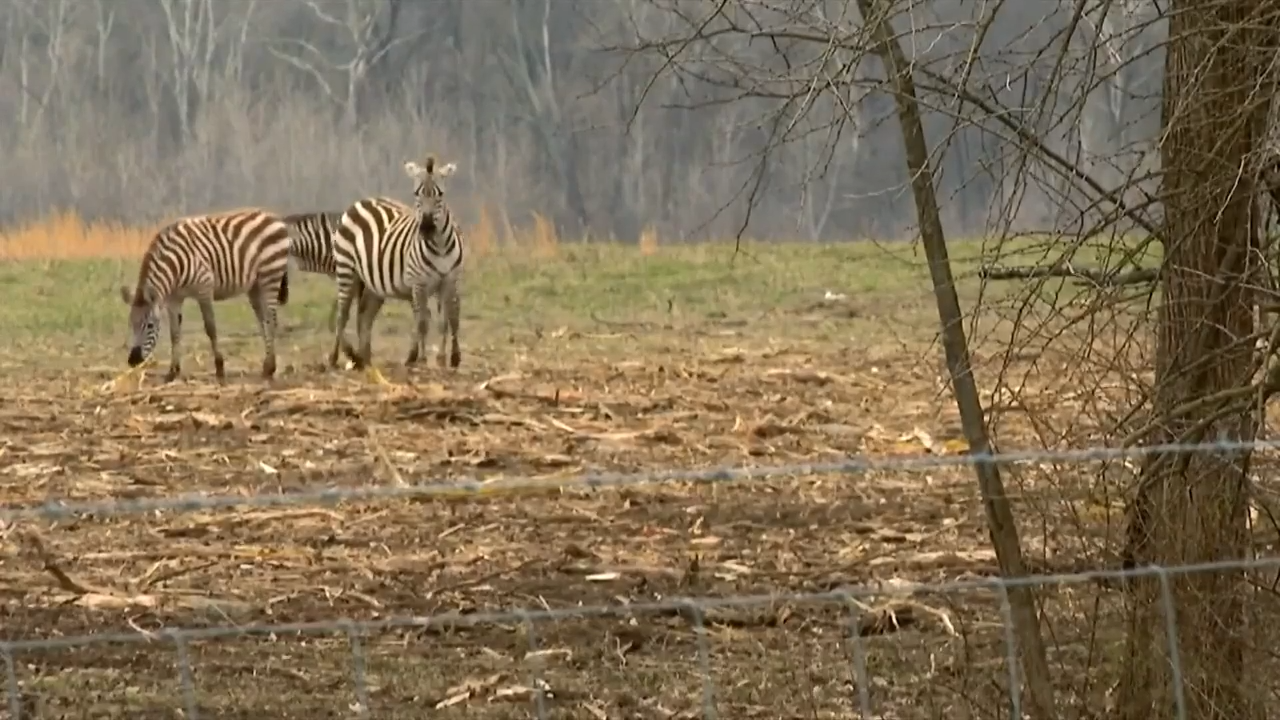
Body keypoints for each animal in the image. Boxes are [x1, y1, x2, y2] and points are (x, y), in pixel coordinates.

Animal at [117, 208, 292, 384]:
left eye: (150, 326)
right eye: (131, 324)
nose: (133, 360)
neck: (174, 265)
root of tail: (272, 216)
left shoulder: (204, 289)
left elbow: (210, 328)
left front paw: (220, 368)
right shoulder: (174, 299)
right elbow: (174, 333)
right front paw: (172, 372)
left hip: (270, 275)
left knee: (271, 320)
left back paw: (270, 368)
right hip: (255, 285)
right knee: (262, 321)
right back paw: (267, 366)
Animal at [283, 210, 441, 366]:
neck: (326, 241)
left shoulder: (355, 279)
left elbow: (350, 316)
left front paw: (352, 353)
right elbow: (354, 315)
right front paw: (361, 354)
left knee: (423, 314)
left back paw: (416, 356)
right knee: (424, 313)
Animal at [329, 155, 463, 382]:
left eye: (440, 194)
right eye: (417, 193)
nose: (426, 228)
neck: (440, 246)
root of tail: (362, 201)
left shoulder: (449, 281)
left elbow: (448, 320)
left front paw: (447, 359)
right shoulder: (419, 283)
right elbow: (422, 322)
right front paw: (423, 360)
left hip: (373, 285)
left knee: (365, 316)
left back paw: (365, 359)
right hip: (347, 270)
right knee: (343, 314)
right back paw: (337, 357)